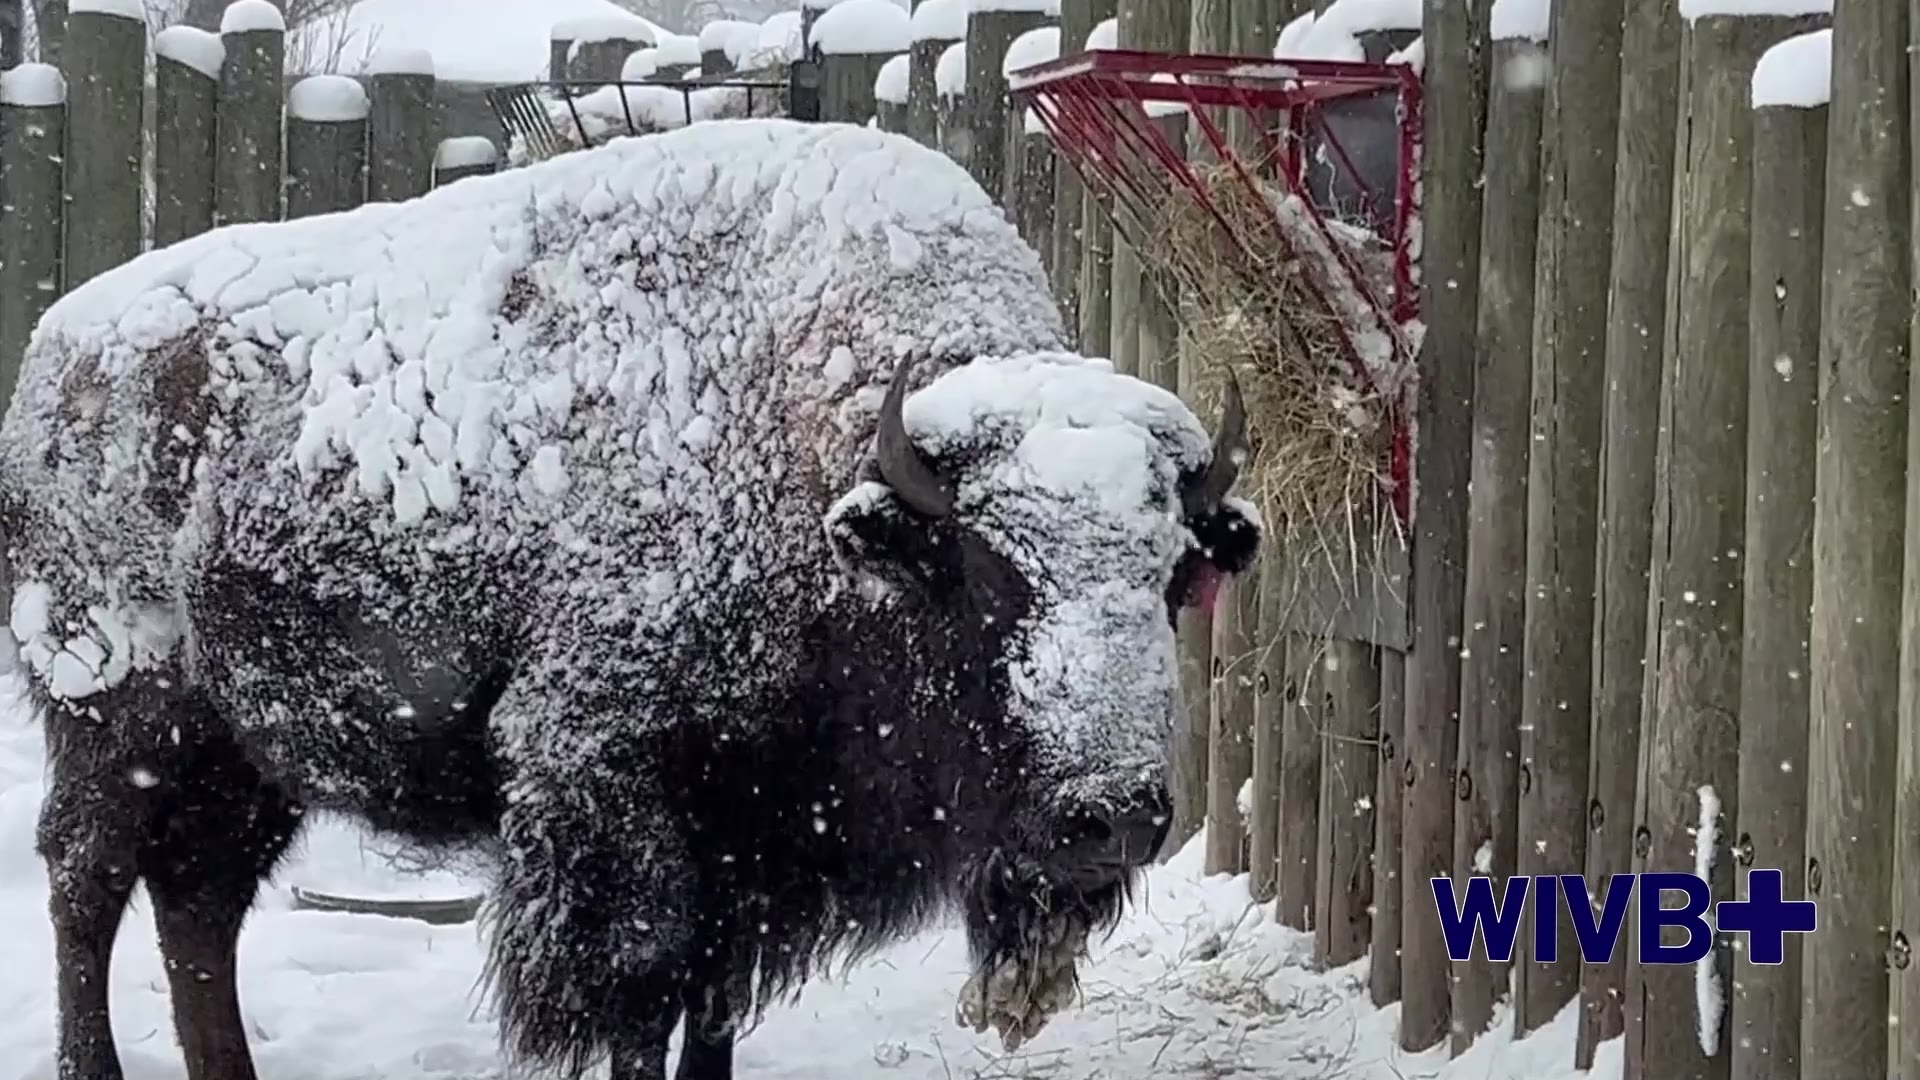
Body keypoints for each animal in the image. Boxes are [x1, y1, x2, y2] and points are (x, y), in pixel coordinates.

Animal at [0, 118, 1259, 1080]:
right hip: (120, 714)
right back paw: (90, 1064)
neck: (817, 470)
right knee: (87, 878)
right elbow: (641, 1002)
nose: (1111, 816)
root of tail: (55, 356)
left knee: (196, 900)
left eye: (1170, 576)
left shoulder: (749, 853)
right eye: (988, 579)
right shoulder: (614, 802)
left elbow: (710, 1016)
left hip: (246, 753)